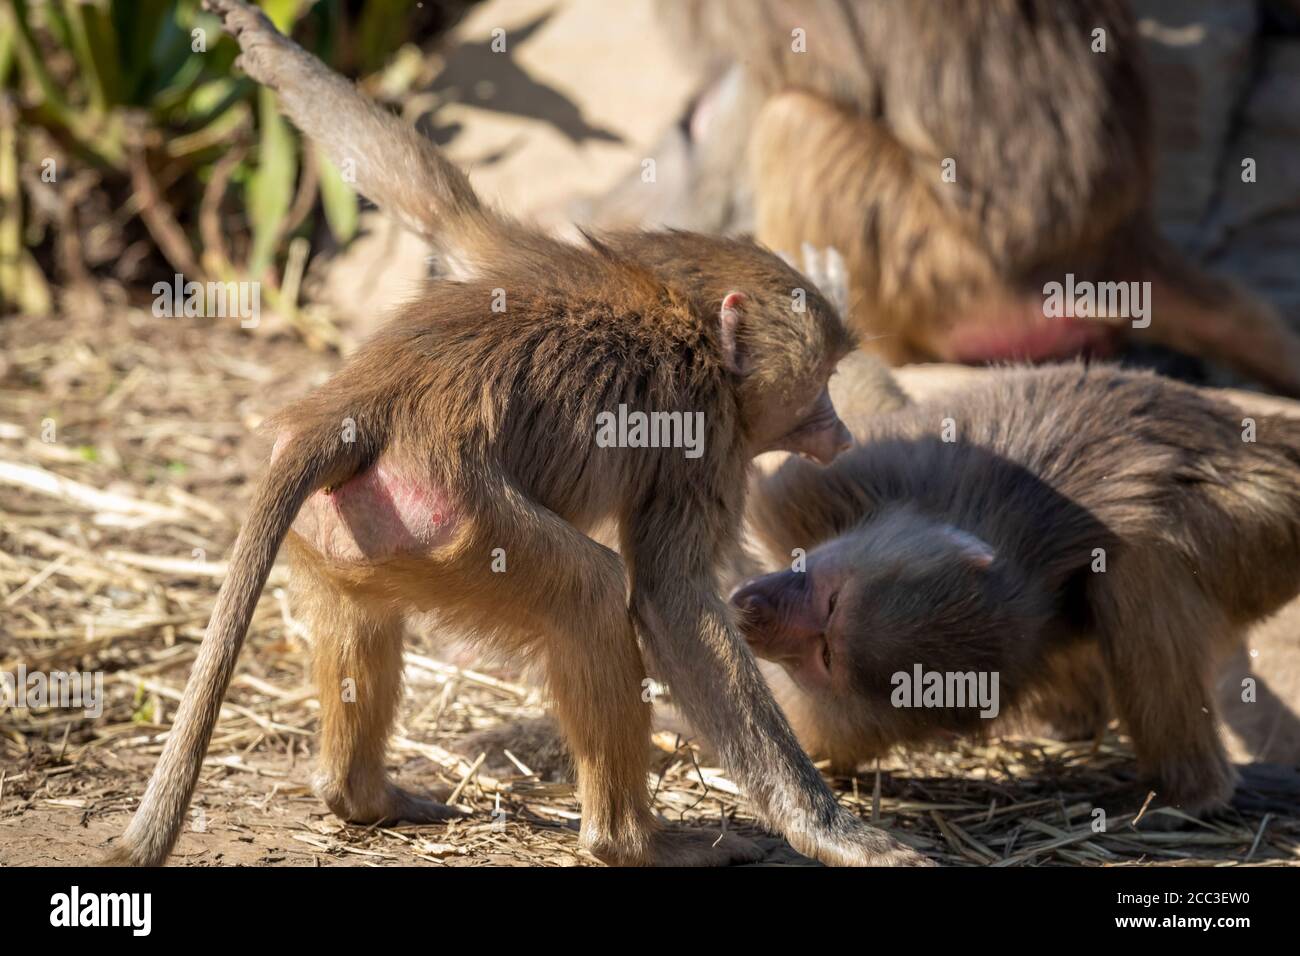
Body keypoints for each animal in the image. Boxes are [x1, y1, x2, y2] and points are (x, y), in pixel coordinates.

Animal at [105, 0, 931, 868]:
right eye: (823, 379)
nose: (840, 432)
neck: (683, 308)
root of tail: (354, 408)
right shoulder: (701, 433)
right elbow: (672, 600)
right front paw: (832, 830)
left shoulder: (509, 253)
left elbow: (440, 206)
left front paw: (262, 46)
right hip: (459, 526)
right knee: (595, 592)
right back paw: (634, 841)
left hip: (353, 527)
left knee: (367, 609)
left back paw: (363, 798)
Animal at [730, 362, 1300, 819]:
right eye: (830, 602)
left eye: (824, 652)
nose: (753, 615)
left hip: (1261, 523)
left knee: (1139, 566)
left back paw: (1186, 793)